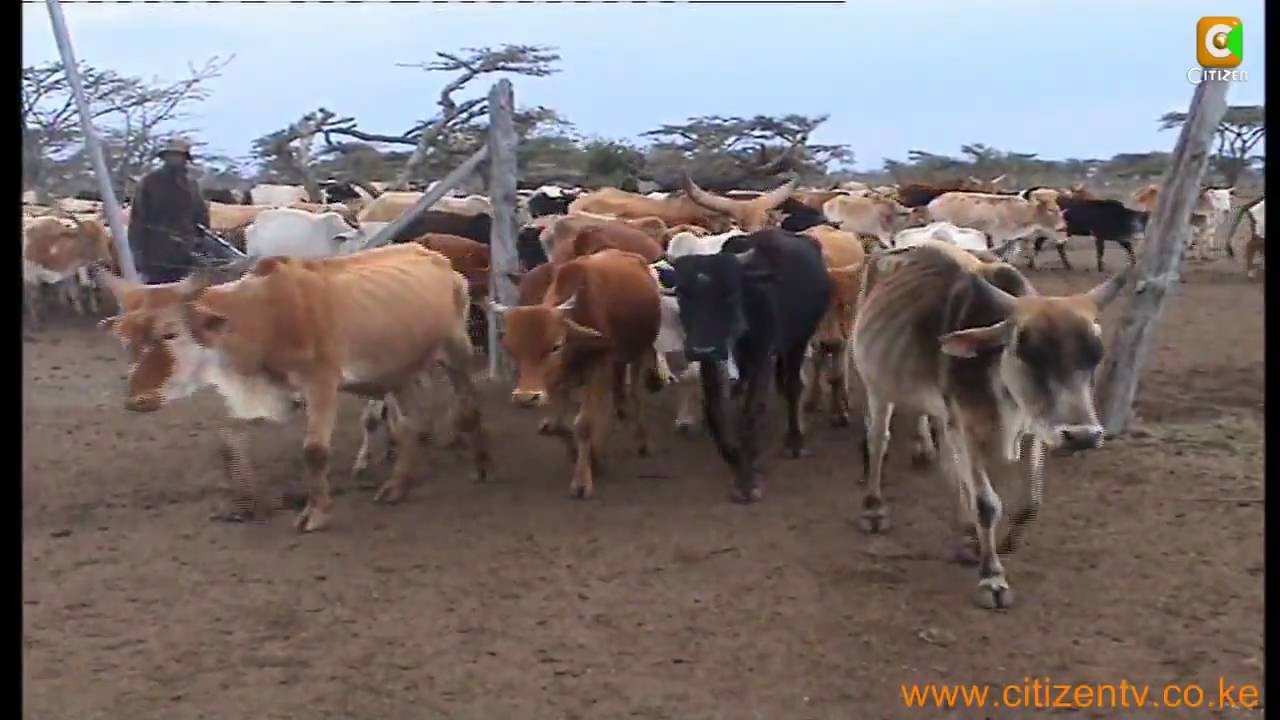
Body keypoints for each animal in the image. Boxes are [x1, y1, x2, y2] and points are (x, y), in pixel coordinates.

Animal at [96, 244, 493, 532]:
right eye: (125, 339)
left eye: (170, 333)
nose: (138, 399)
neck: (265, 317)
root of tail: (442, 262)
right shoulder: (271, 393)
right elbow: (233, 439)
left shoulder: (322, 383)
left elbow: (314, 451)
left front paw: (315, 512)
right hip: (399, 371)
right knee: (412, 423)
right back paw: (397, 485)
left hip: (456, 352)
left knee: (469, 406)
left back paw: (480, 467)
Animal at [489, 249, 662, 499]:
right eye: (512, 350)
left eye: (555, 346)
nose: (525, 398)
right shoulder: (554, 380)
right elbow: (561, 424)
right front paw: (579, 454)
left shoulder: (598, 365)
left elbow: (584, 424)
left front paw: (584, 476)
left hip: (637, 351)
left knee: (635, 396)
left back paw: (642, 440)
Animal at [663, 229, 831, 502]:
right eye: (683, 294)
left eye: (731, 293)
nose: (701, 349)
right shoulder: (712, 364)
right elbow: (715, 413)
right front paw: (736, 456)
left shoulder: (761, 359)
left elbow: (750, 413)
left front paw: (746, 481)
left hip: (798, 339)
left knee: (793, 387)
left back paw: (794, 441)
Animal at [799, 225, 865, 427]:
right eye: (816, 303)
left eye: (847, 305)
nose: (831, 343)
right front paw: (812, 399)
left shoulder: (844, 336)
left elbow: (836, 375)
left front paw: (839, 412)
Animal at [851, 239, 1127, 608]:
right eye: (1025, 350)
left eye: (1095, 355)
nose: (1082, 436)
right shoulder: (967, 427)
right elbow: (987, 503)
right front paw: (992, 577)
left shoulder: (1032, 429)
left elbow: (1030, 500)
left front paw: (1005, 540)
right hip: (878, 387)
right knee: (878, 441)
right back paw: (874, 508)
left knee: (948, 463)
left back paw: (965, 532)